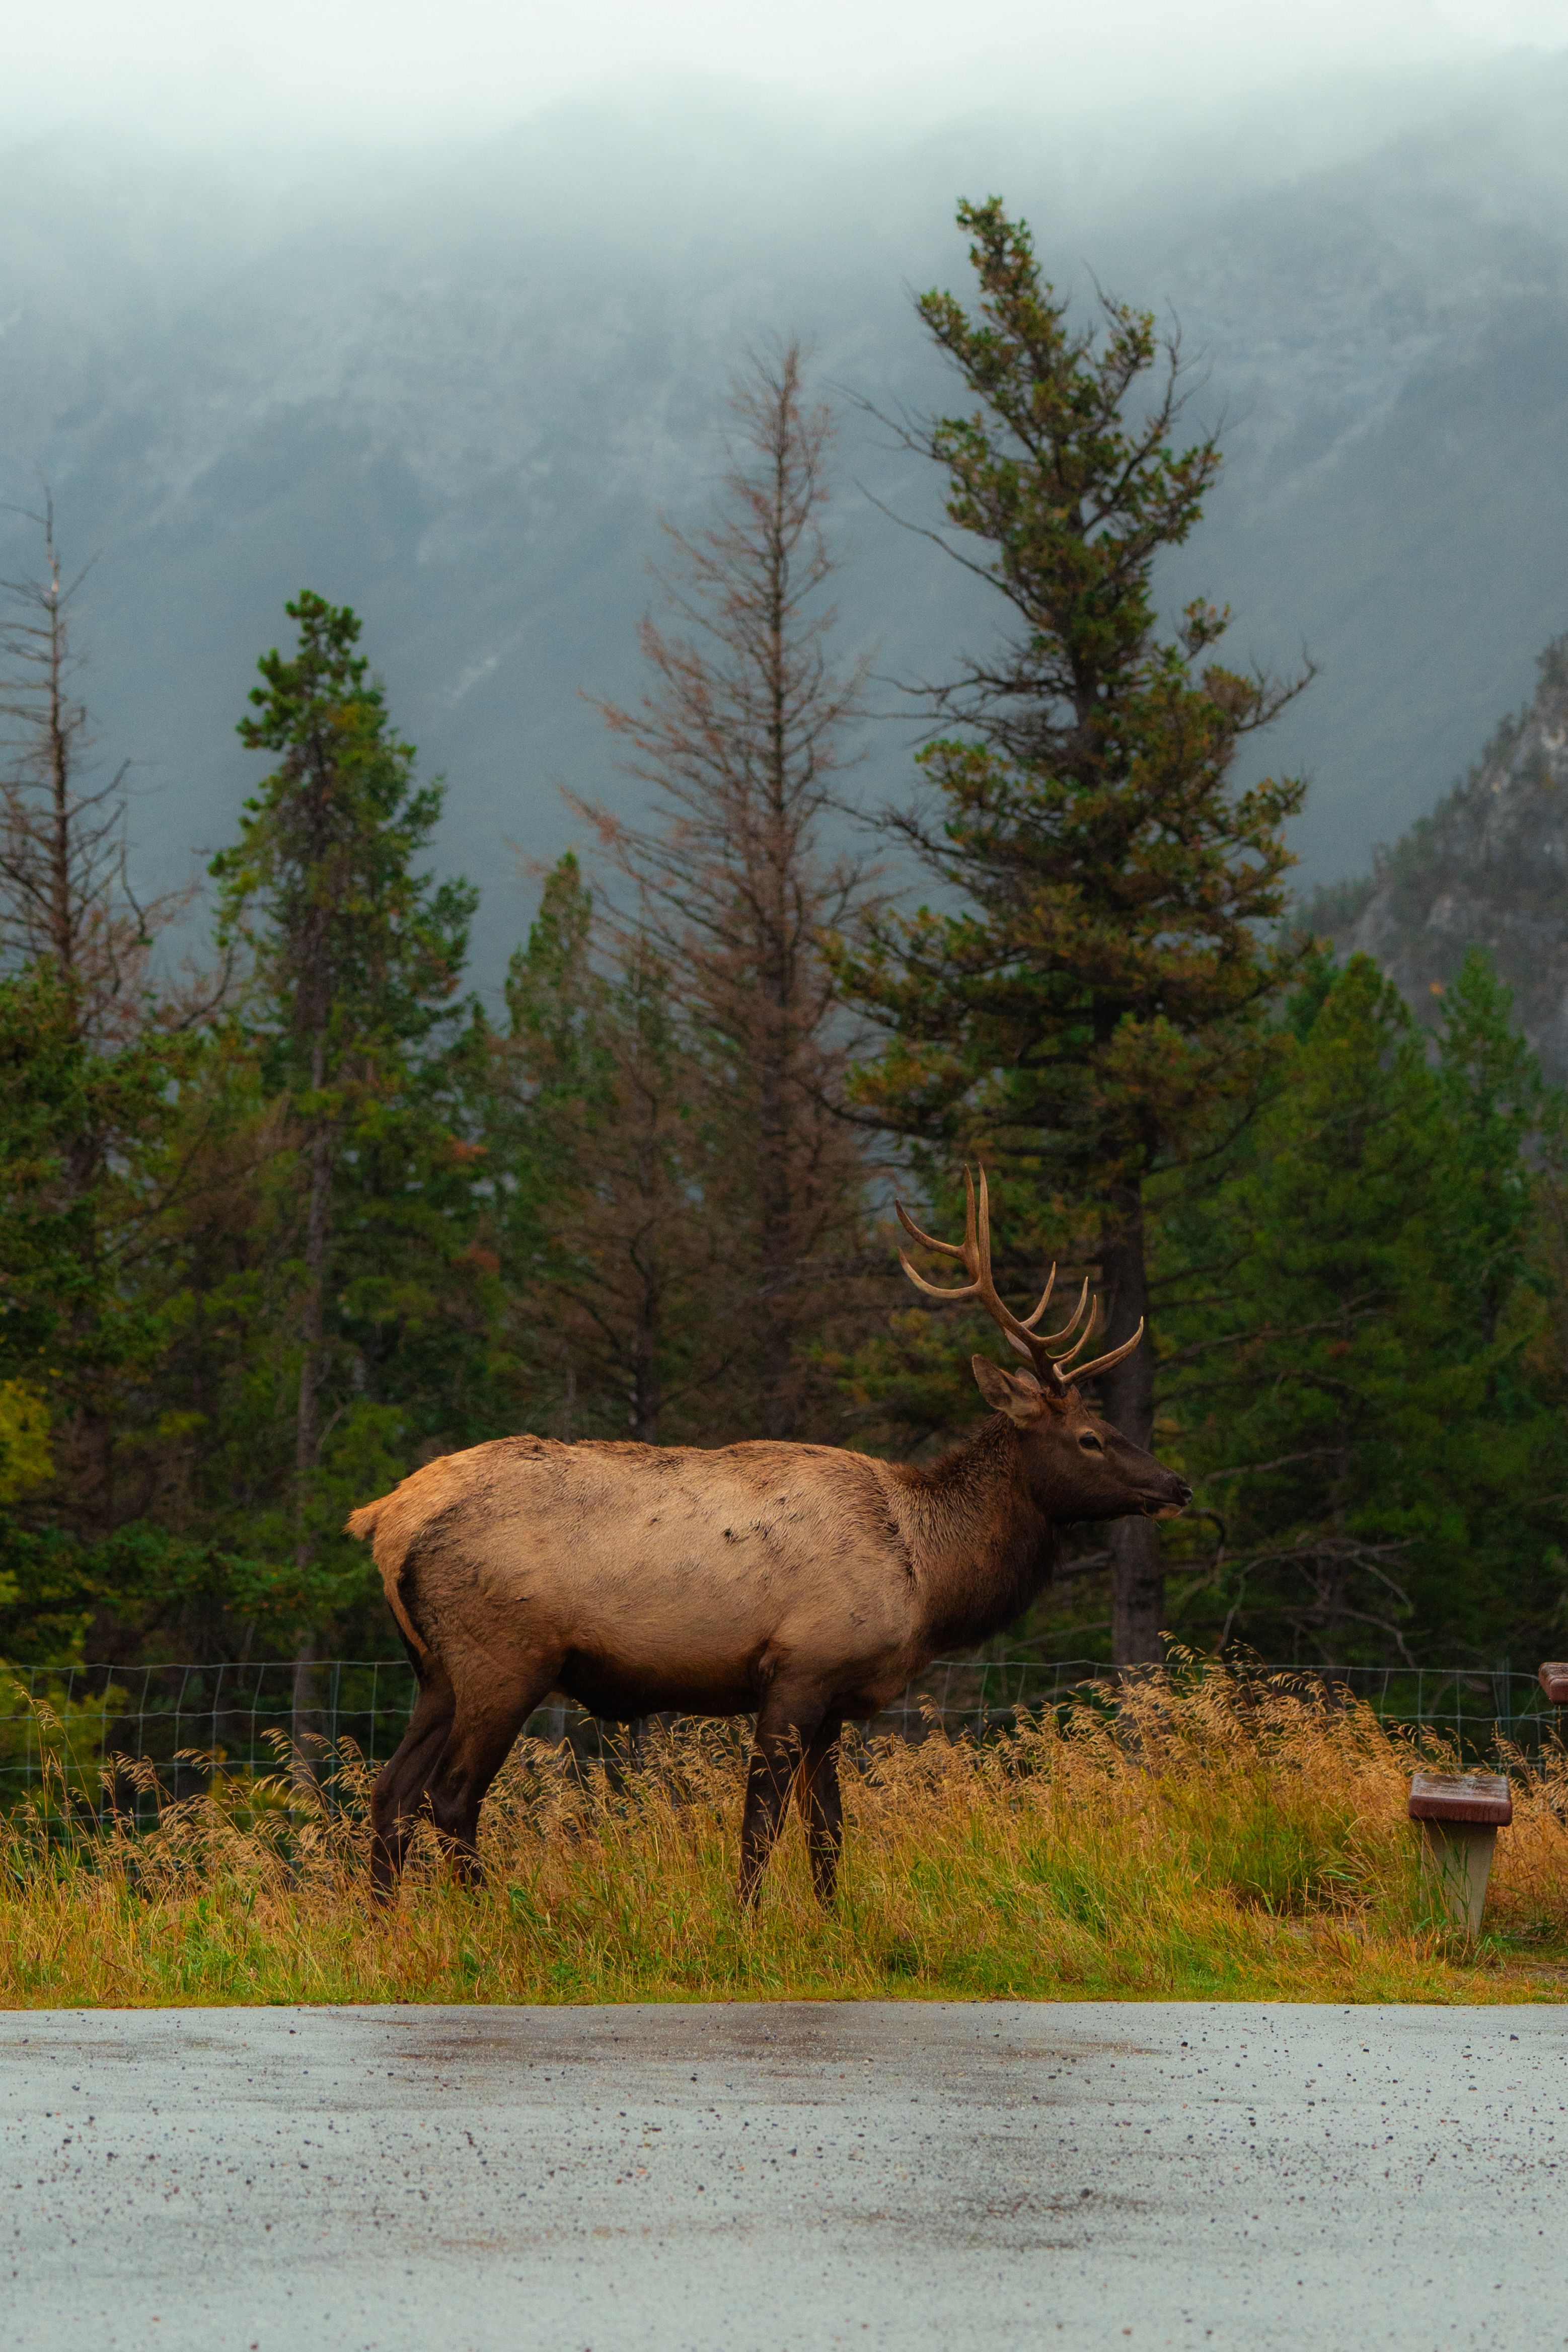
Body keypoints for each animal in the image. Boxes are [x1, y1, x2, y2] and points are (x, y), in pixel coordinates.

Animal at [348, 1168, 1190, 1907]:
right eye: (1089, 1438)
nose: (1175, 1486)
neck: (926, 1575)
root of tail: (384, 1520)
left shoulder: (838, 1697)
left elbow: (828, 1829)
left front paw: (831, 1923)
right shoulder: (798, 1669)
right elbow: (761, 1822)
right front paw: (747, 1922)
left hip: (436, 1670)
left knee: (390, 1792)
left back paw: (386, 1930)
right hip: (504, 1656)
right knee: (452, 1796)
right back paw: (490, 1918)